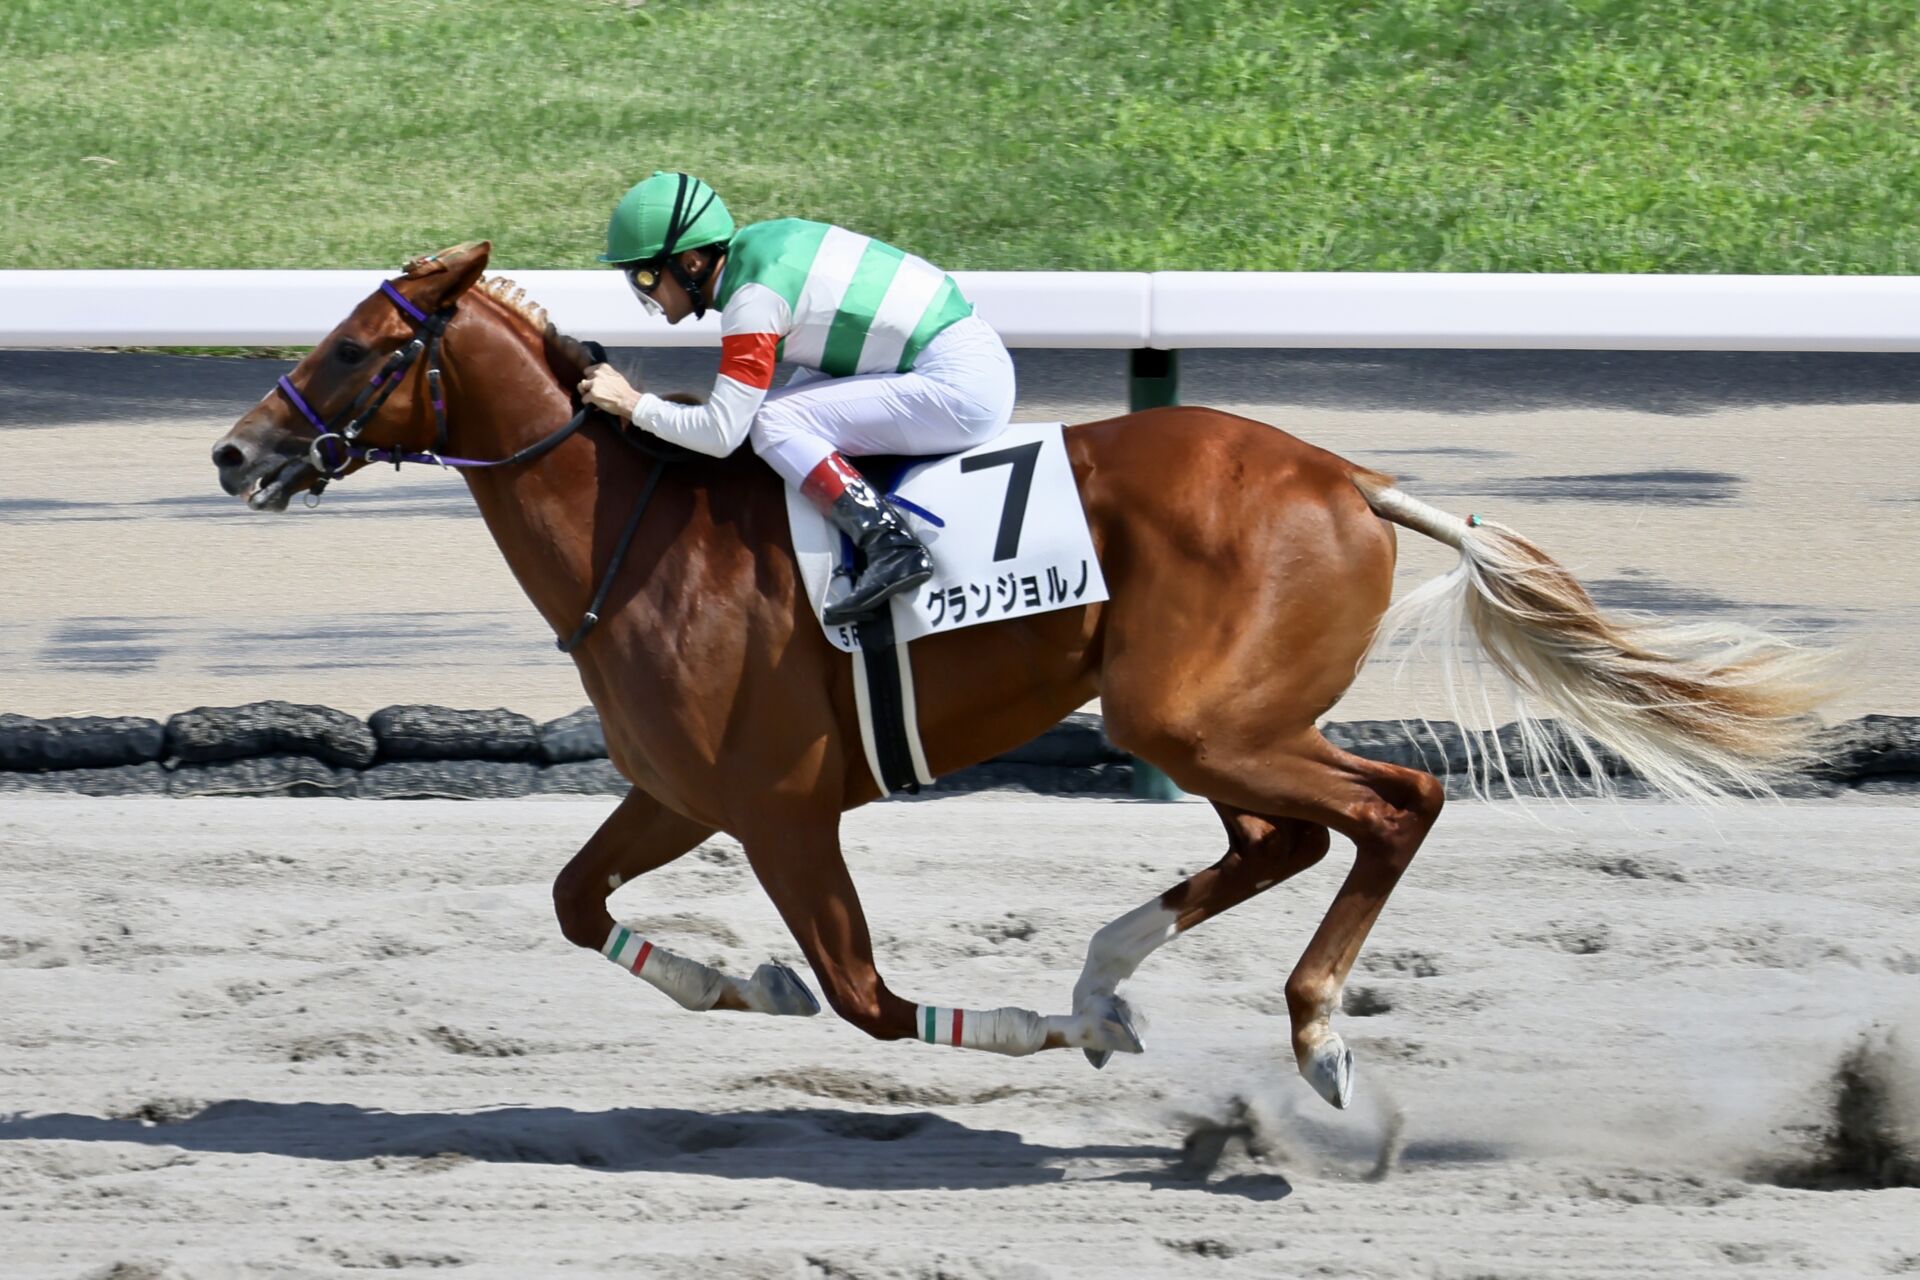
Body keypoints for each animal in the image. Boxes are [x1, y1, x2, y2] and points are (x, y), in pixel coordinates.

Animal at [210, 241, 1826, 1109]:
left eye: (354, 346)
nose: (234, 451)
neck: (639, 529)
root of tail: (1351, 481)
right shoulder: (682, 790)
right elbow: (572, 900)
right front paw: (742, 984)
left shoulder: (784, 809)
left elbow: (866, 998)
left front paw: (1028, 1028)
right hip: (1207, 718)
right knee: (1287, 836)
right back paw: (1115, 974)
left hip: (1196, 712)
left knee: (1395, 802)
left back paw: (1301, 1031)